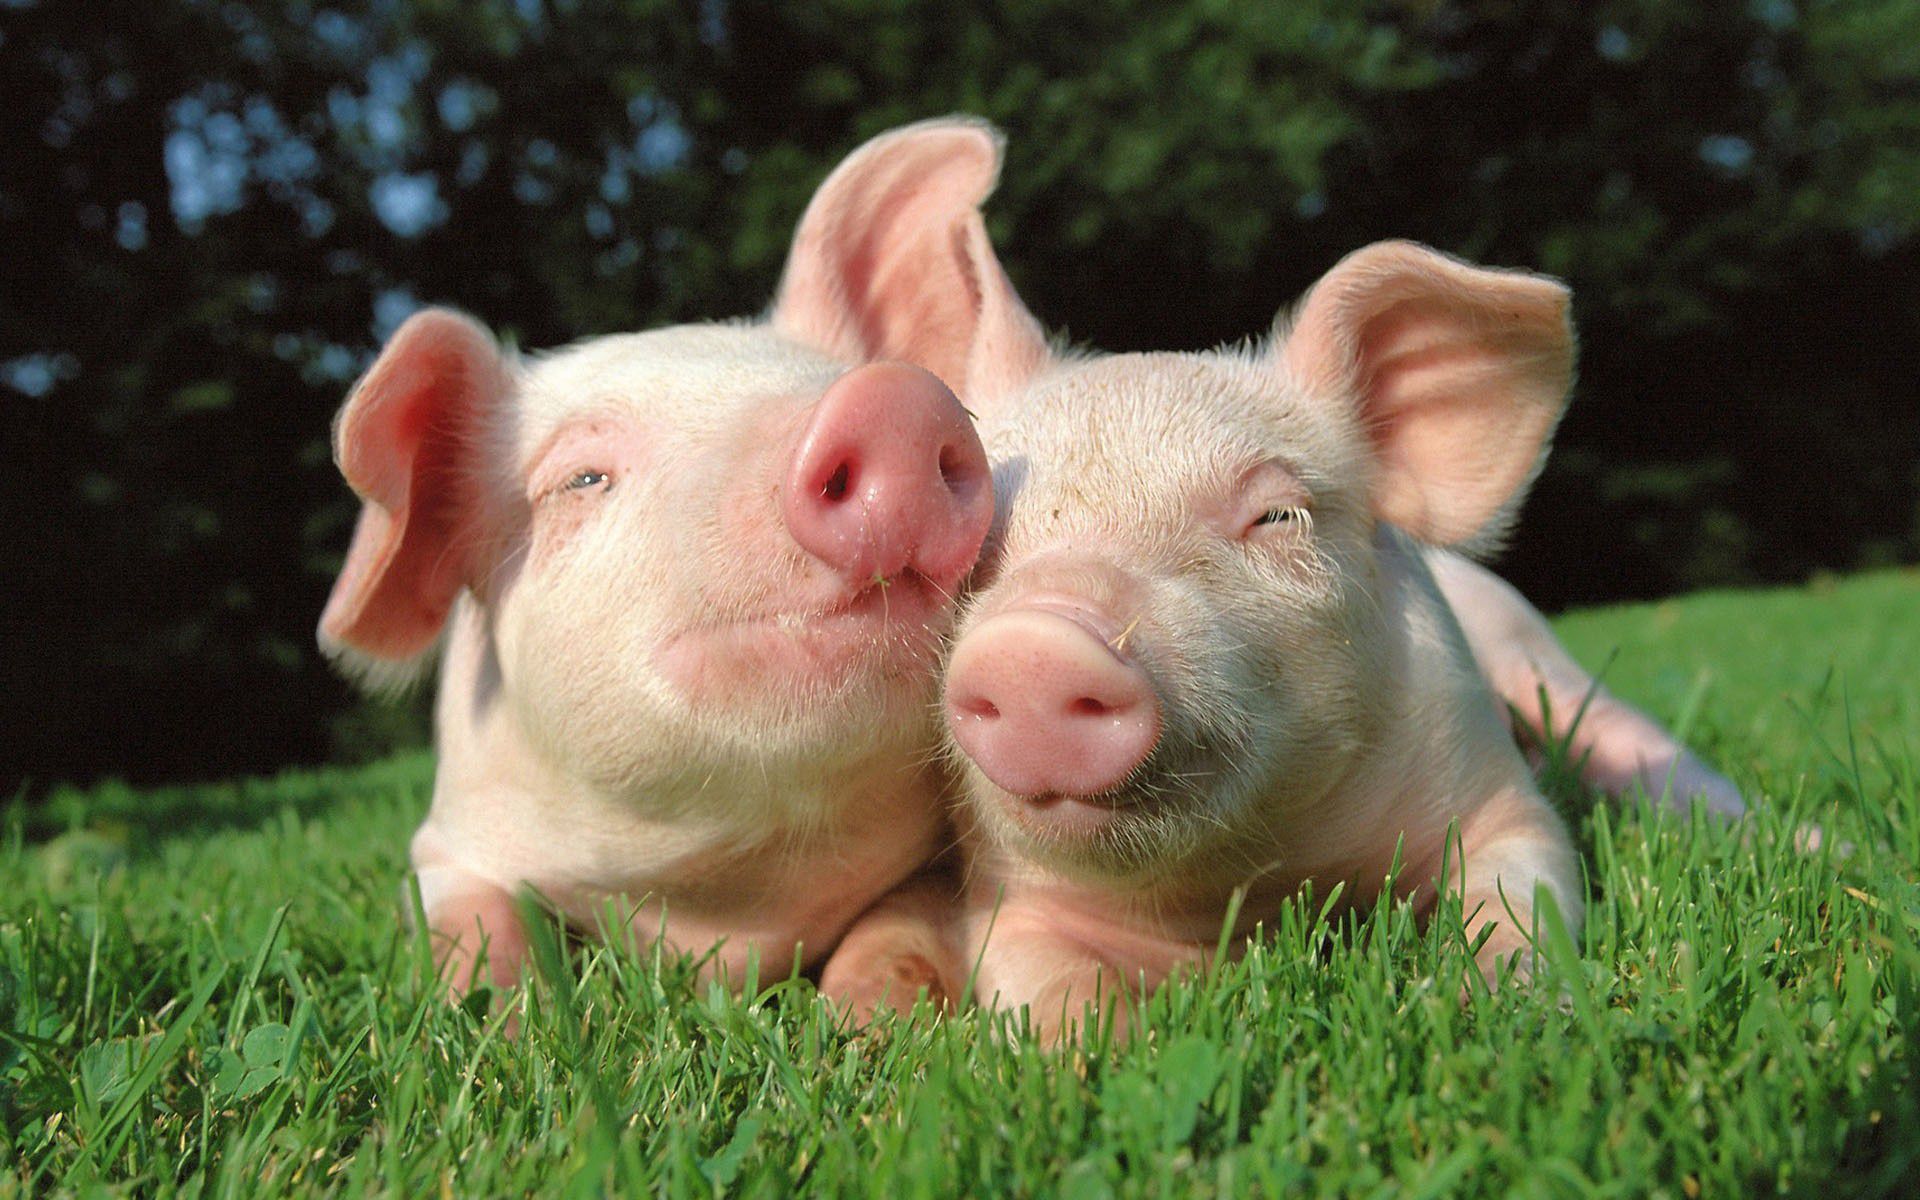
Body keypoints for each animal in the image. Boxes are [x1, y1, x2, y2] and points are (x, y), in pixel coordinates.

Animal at [316, 119, 1030, 996]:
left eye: (846, 379)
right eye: (582, 478)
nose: (892, 400)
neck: (721, 907)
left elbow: (897, 927)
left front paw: (867, 1015)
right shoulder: (446, 840)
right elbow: (471, 923)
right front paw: (489, 1009)